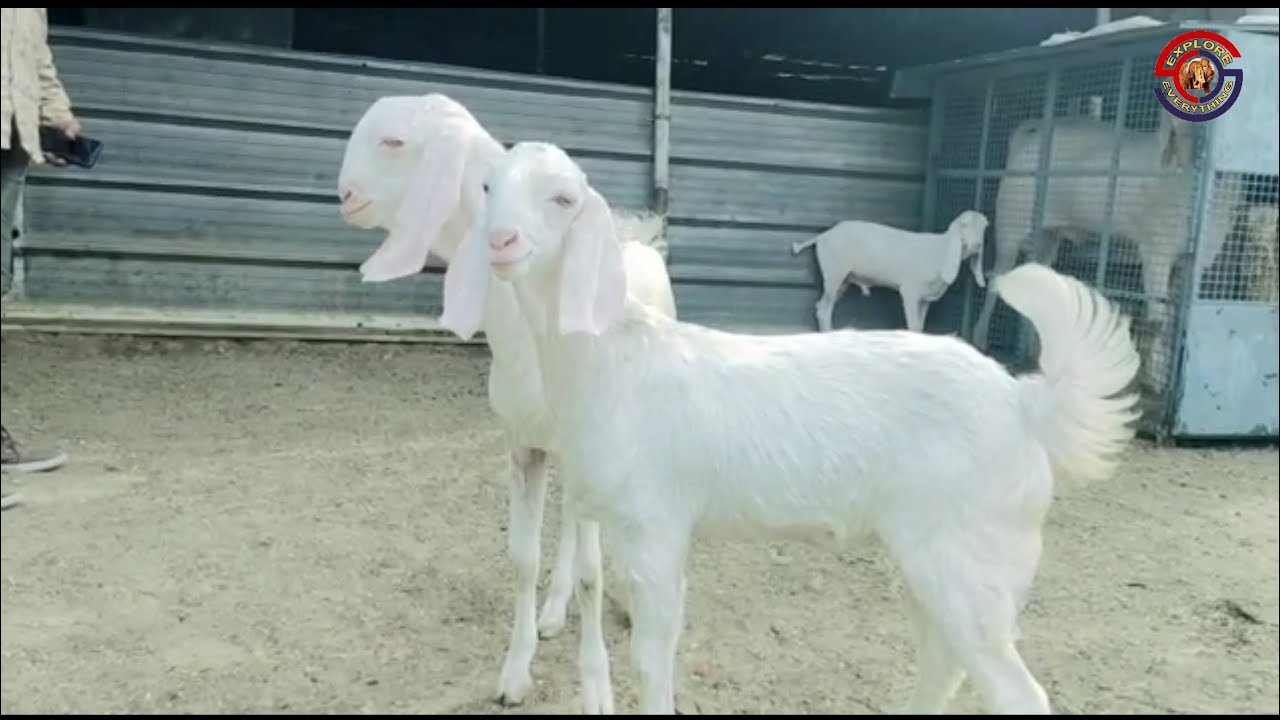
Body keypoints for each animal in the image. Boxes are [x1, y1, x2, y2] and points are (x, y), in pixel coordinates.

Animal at [336, 94, 677, 709]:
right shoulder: (520, 443)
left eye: (393, 141)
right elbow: (523, 558)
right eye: (490, 187)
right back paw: (553, 611)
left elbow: (592, 572)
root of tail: (639, 238)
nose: (346, 194)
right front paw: (516, 671)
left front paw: (596, 687)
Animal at [792, 210, 989, 333]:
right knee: (824, 310)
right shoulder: (910, 291)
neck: (941, 250)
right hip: (834, 273)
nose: (977, 245)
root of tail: (822, 236)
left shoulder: (925, 299)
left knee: (822, 308)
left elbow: (920, 328)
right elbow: (913, 326)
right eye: (964, 225)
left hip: (843, 279)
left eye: (985, 227)